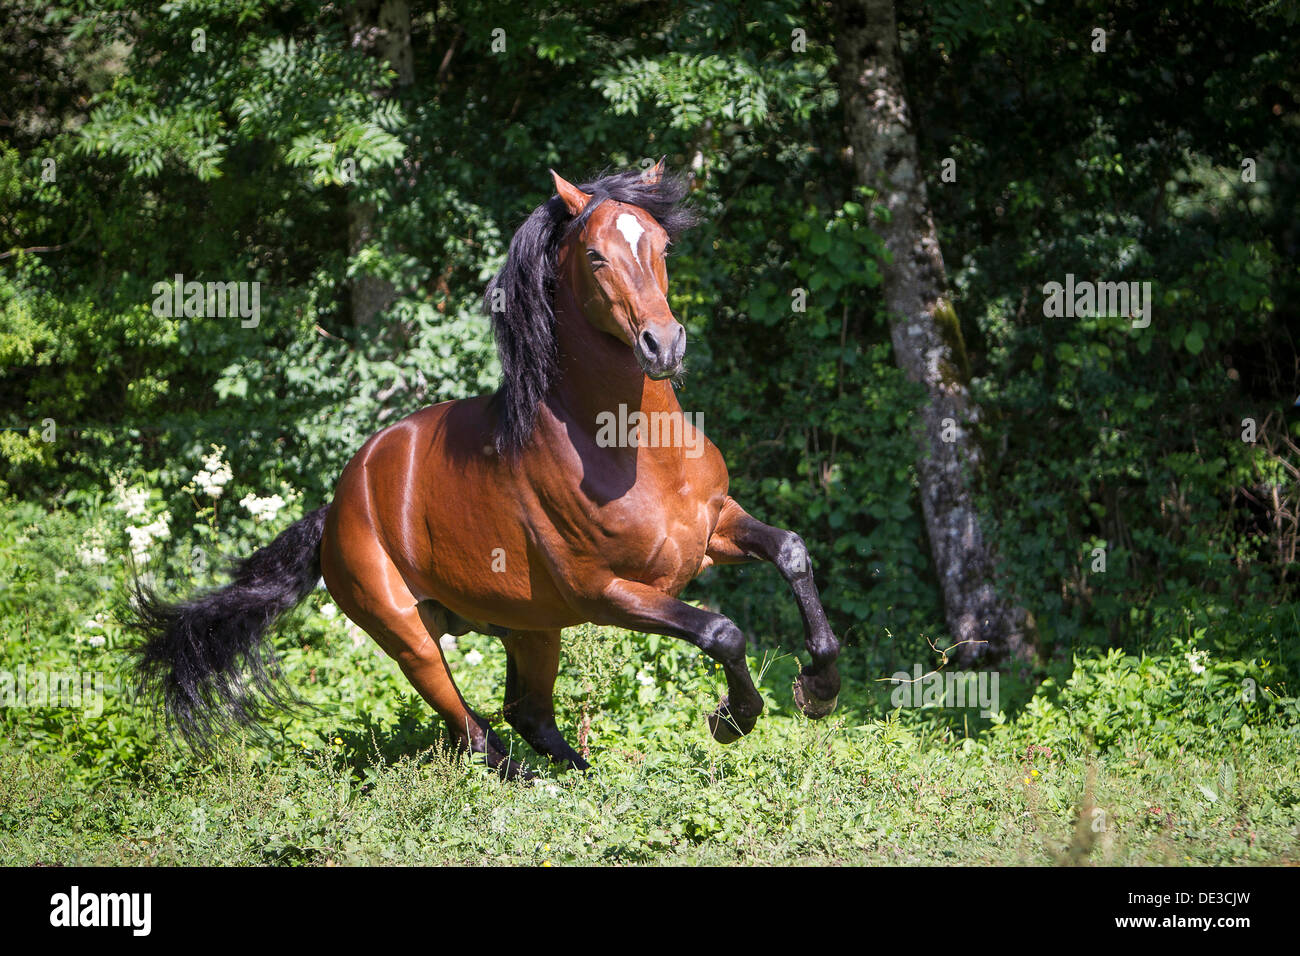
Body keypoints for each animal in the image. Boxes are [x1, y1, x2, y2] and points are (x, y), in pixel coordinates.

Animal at [131, 160, 842, 777]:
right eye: (595, 255)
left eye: (663, 247)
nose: (662, 345)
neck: (633, 451)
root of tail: (337, 507)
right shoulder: (608, 592)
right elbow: (722, 630)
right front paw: (732, 719)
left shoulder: (713, 529)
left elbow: (791, 550)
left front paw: (819, 688)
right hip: (412, 637)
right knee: (476, 733)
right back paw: (540, 785)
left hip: (532, 629)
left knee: (526, 715)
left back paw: (585, 780)